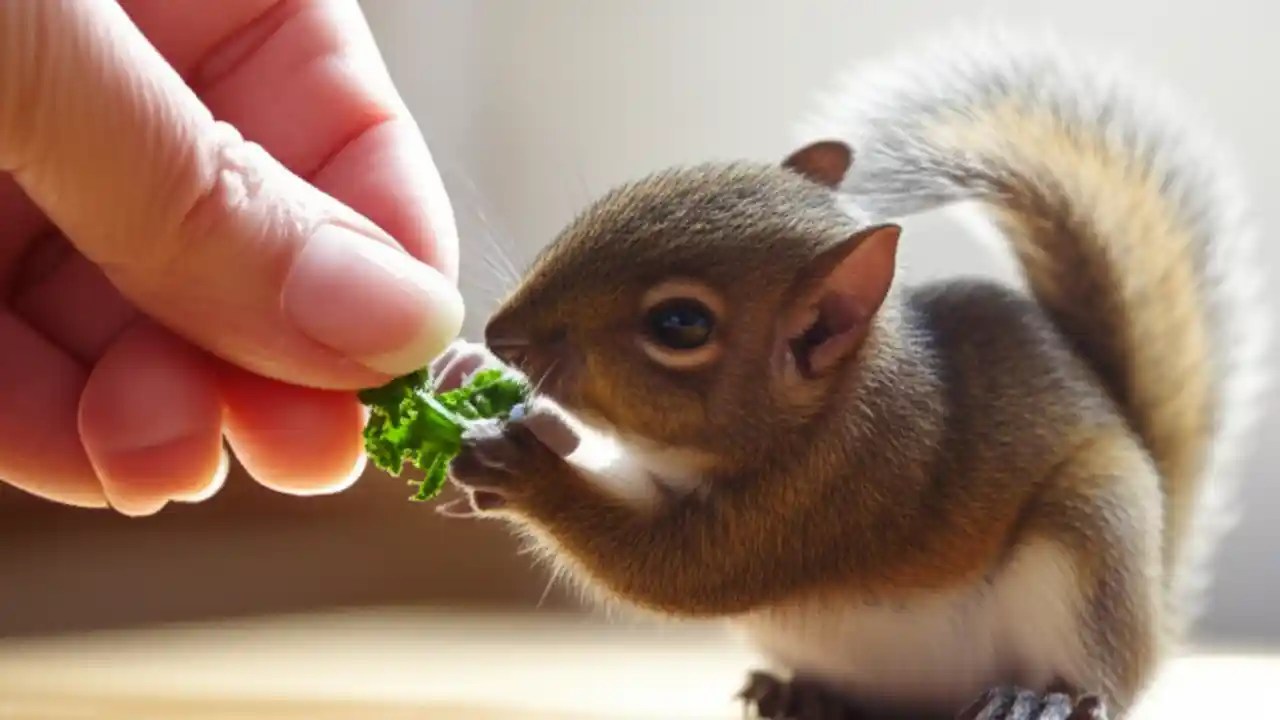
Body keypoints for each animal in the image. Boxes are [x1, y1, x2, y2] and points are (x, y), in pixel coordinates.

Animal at [431, 28, 1268, 720]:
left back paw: (1044, 700)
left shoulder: (826, 496)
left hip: (1095, 536)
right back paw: (796, 694)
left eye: (680, 325)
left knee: (1102, 684)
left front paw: (526, 473)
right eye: (617, 198)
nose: (503, 333)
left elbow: (673, 570)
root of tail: (1157, 600)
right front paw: (466, 373)